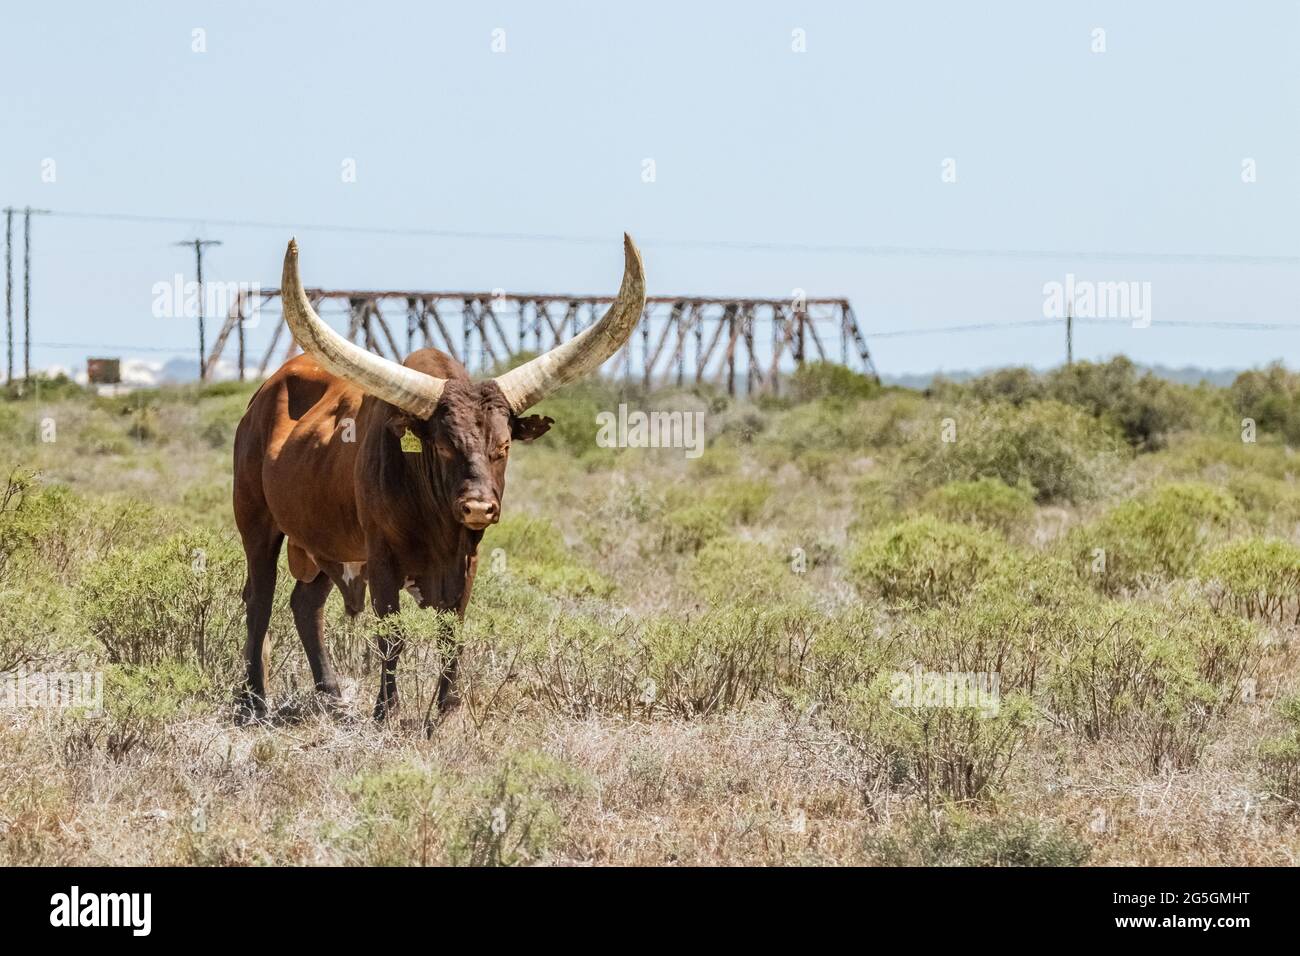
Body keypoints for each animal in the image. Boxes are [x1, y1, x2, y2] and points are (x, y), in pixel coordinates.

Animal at [232, 235, 645, 721]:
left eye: (504, 447)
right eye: (445, 446)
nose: (479, 507)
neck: (437, 522)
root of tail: (261, 394)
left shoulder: (467, 560)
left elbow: (453, 634)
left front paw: (445, 712)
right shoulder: (382, 557)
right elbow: (391, 636)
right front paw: (386, 711)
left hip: (324, 540)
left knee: (305, 604)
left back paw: (331, 695)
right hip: (256, 521)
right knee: (260, 601)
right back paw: (251, 700)